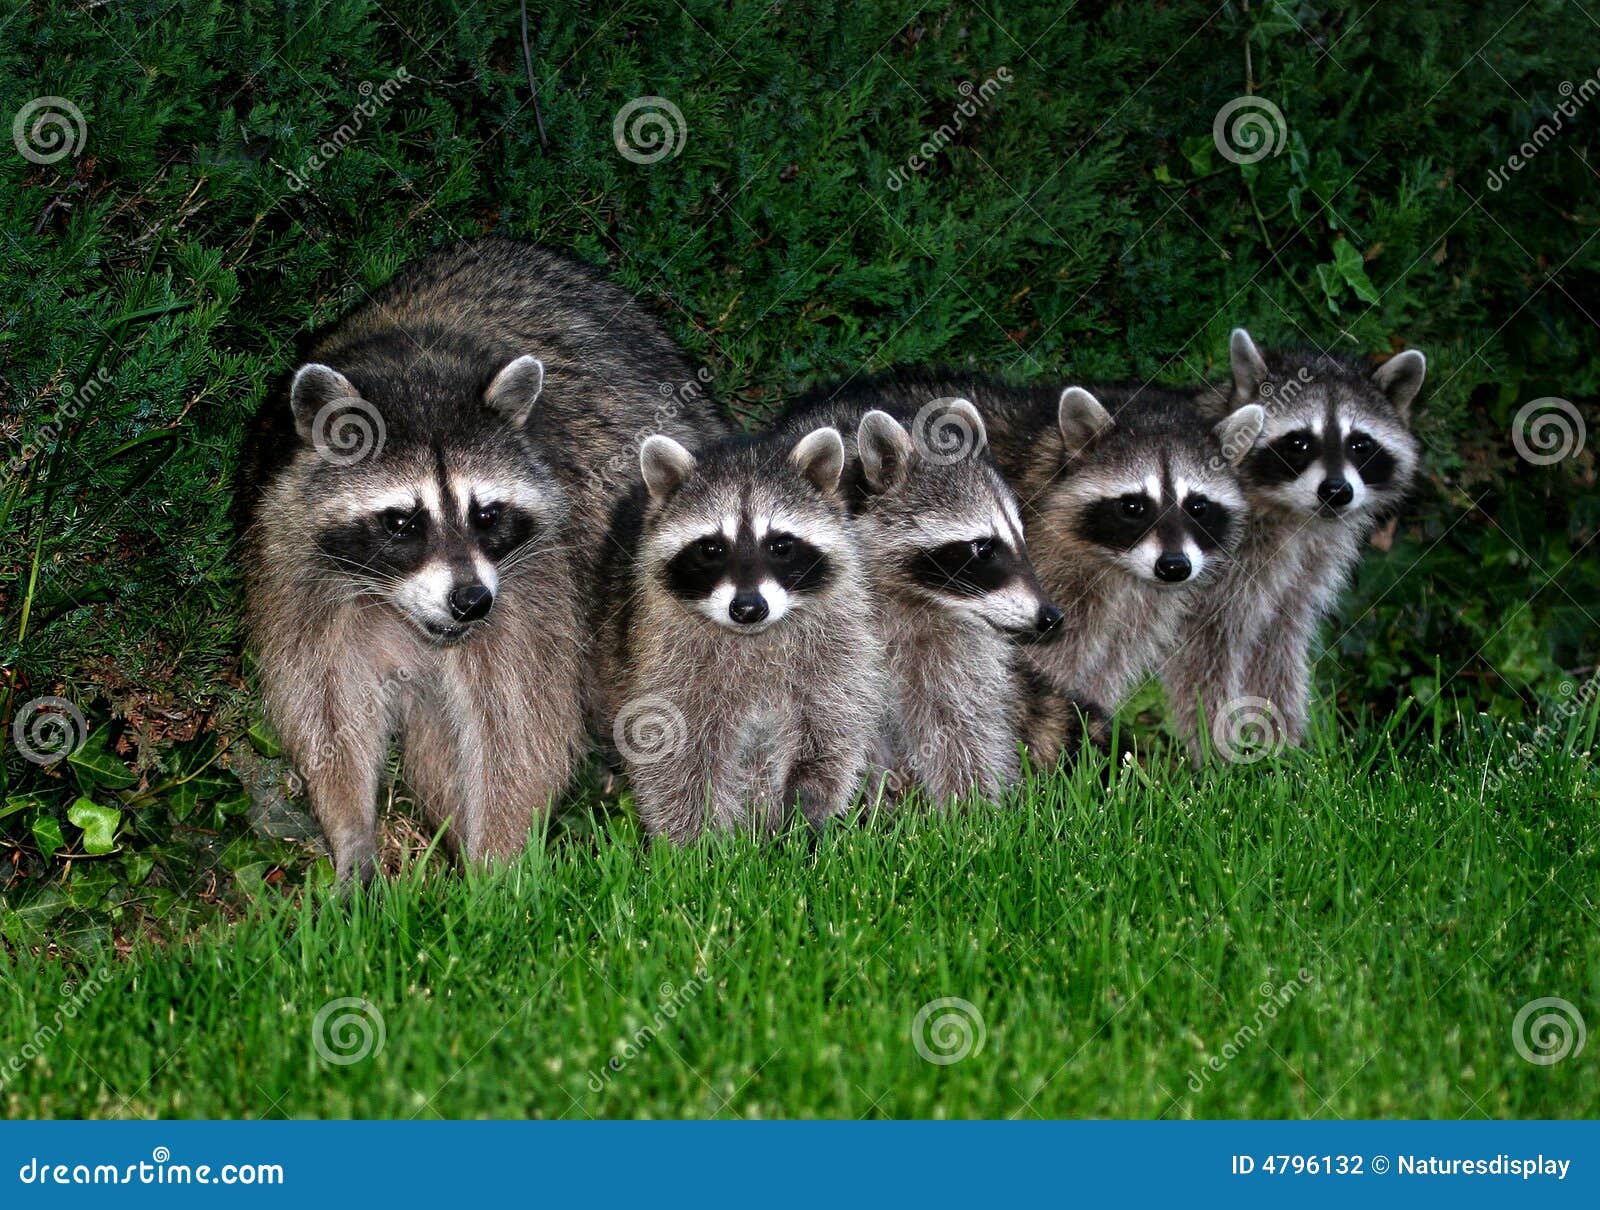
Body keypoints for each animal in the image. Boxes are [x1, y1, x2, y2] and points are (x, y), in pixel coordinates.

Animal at [242, 239, 723, 881]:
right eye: (403, 522)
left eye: (488, 515)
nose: (470, 601)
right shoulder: (295, 564)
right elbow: (326, 706)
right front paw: (351, 832)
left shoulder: (537, 579)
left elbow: (519, 730)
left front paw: (497, 864)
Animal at [597, 427, 884, 843]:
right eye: (711, 548)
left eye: (780, 545)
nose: (748, 608)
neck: (753, 636)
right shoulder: (666, 659)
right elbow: (671, 754)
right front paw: (696, 842)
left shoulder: (836, 649)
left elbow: (828, 736)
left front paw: (802, 817)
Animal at [774, 392, 1063, 802]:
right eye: (983, 549)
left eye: (1021, 539)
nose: (1050, 616)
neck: (908, 595)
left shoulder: (949, 633)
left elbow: (955, 711)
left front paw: (971, 803)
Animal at [1168, 329, 1424, 757]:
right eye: (1299, 443)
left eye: (1360, 445)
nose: (1336, 490)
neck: (1296, 517)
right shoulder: (1218, 570)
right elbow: (1203, 655)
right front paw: (1216, 749)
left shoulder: (1305, 568)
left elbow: (1277, 643)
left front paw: (1284, 747)